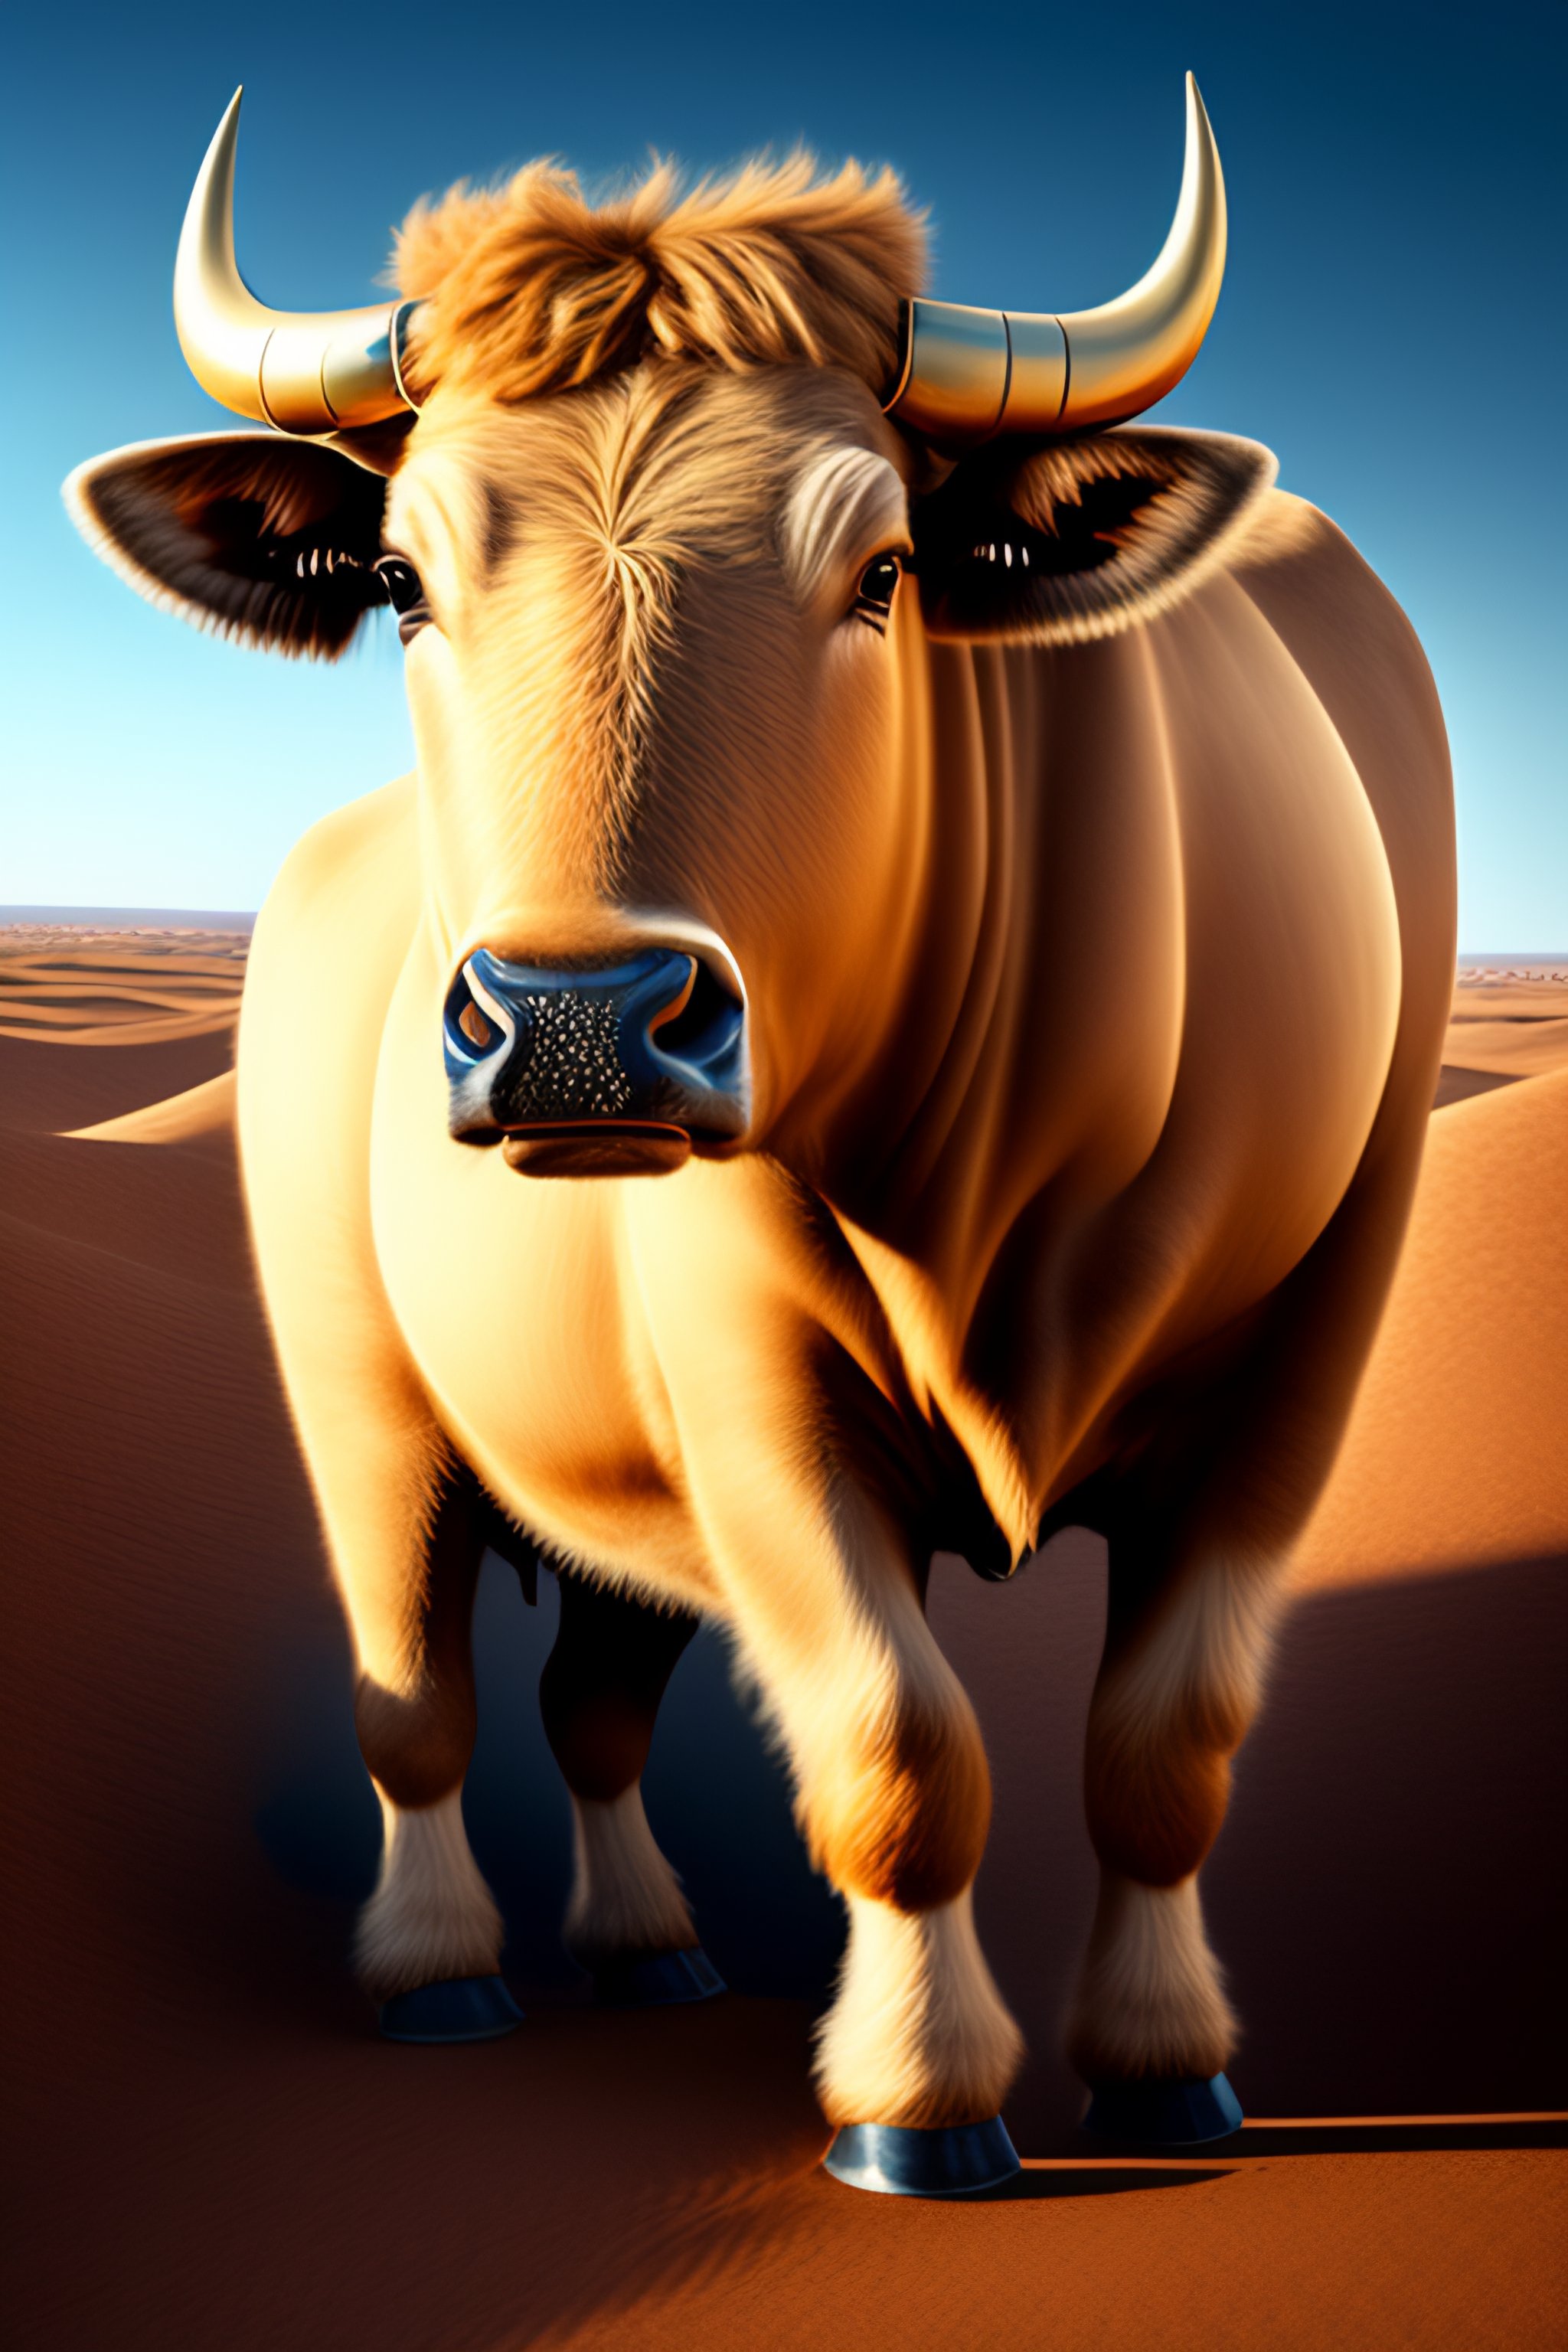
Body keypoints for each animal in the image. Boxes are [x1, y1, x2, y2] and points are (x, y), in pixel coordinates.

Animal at [65, 77, 1453, 2195]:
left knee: (593, 1698)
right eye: (401, 582)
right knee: (418, 1694)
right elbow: (898, 1743)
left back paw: (649, 1946)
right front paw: (915, 2104)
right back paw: (439, 1969)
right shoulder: (750, 1394)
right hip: (360, 1395)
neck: (996, 1168)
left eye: (881, 566)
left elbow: (1164, 1741)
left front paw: (1163, 2062)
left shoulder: (1296, 1375)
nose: (570, 1025)